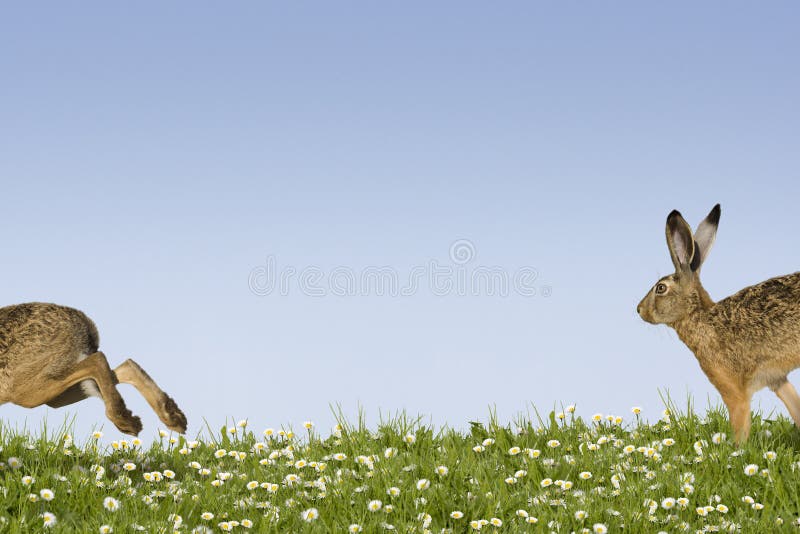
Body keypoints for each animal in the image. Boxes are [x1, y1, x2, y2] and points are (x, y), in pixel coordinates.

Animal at [0, 302, 186, 436]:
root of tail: (84, 324)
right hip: (62, 390)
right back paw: (173, 418)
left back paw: (126, 421)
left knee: (99, 360)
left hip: (26, 390)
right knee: (124, 367)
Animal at [638, 204, 800, 443]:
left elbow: (739, 425)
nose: (639, 310)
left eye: (661, 288)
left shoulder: (733, 390)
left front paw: (737, 448)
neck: (701, 317)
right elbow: (795, 406)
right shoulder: (777, 379)